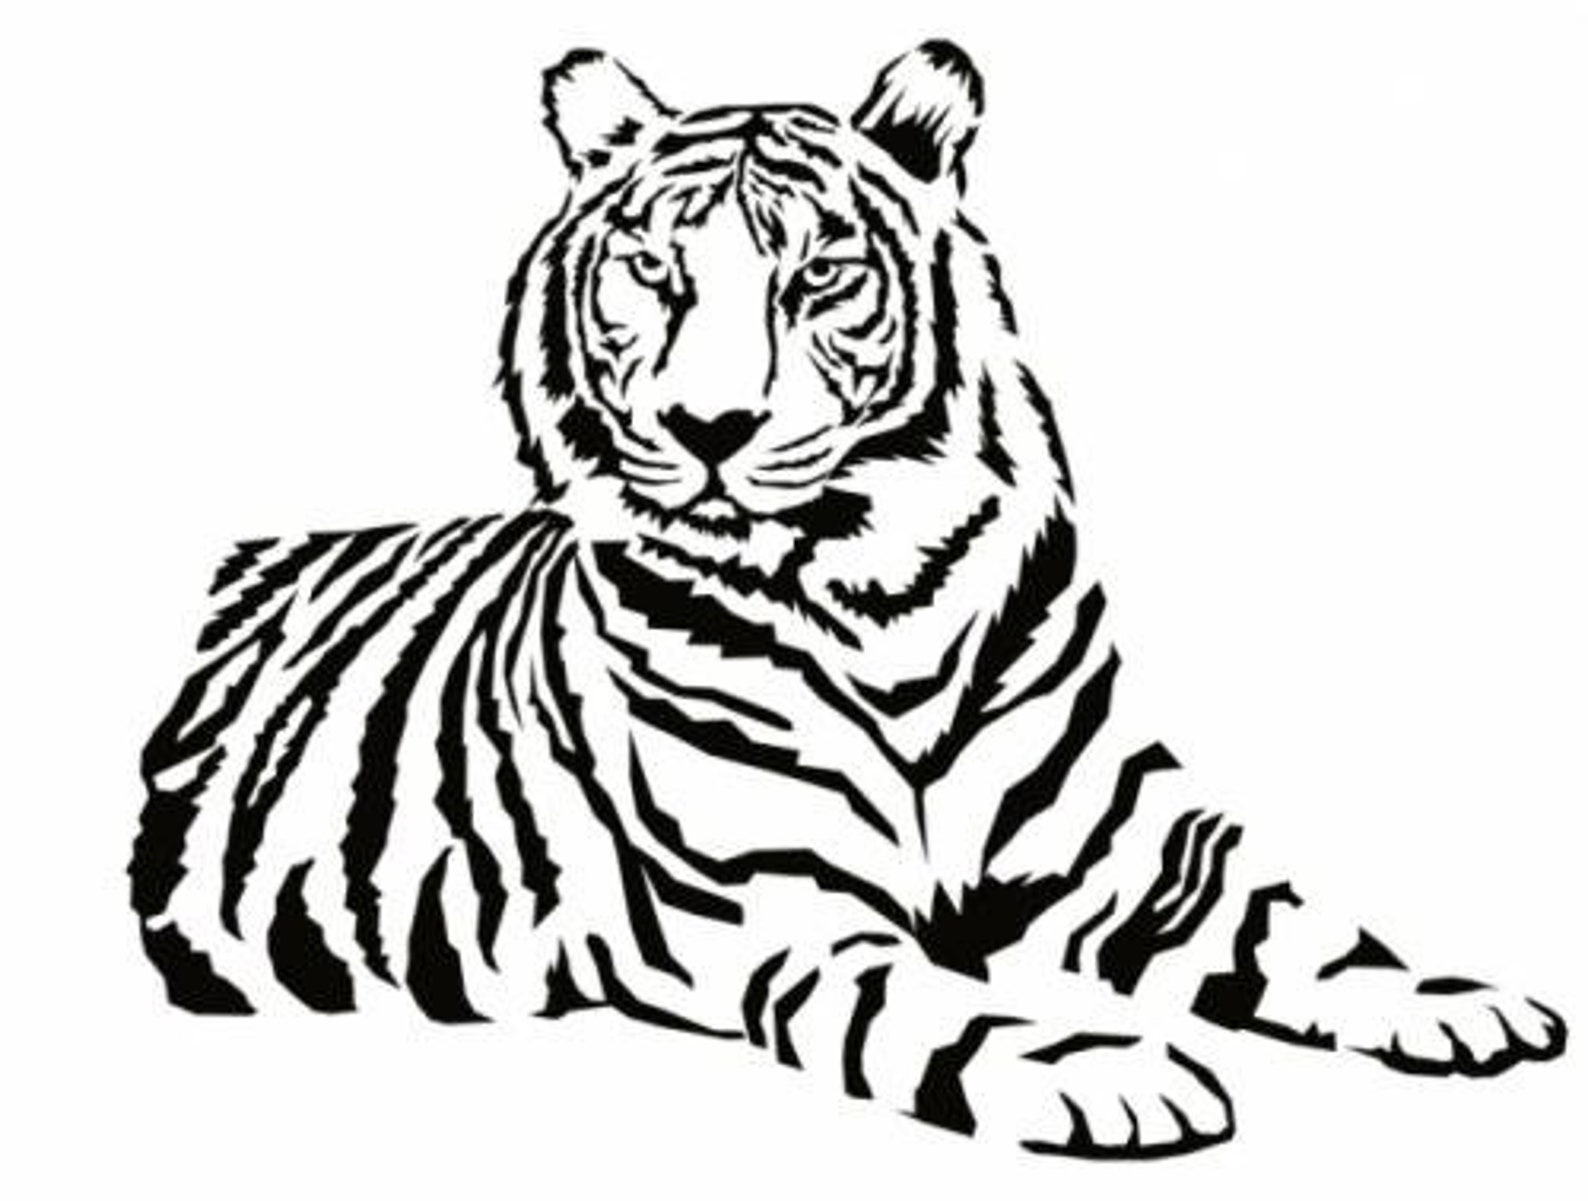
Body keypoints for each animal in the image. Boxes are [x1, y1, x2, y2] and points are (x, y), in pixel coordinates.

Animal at [130, 40, 1566, 1159]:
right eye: (655, 274)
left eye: (817, 276)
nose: (709, 428)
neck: (878, 593)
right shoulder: (781, 899)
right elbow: (949, 1011)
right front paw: (1114, 1073)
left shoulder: (1125, 838)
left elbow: (1298, 929)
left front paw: (1461, 1002)